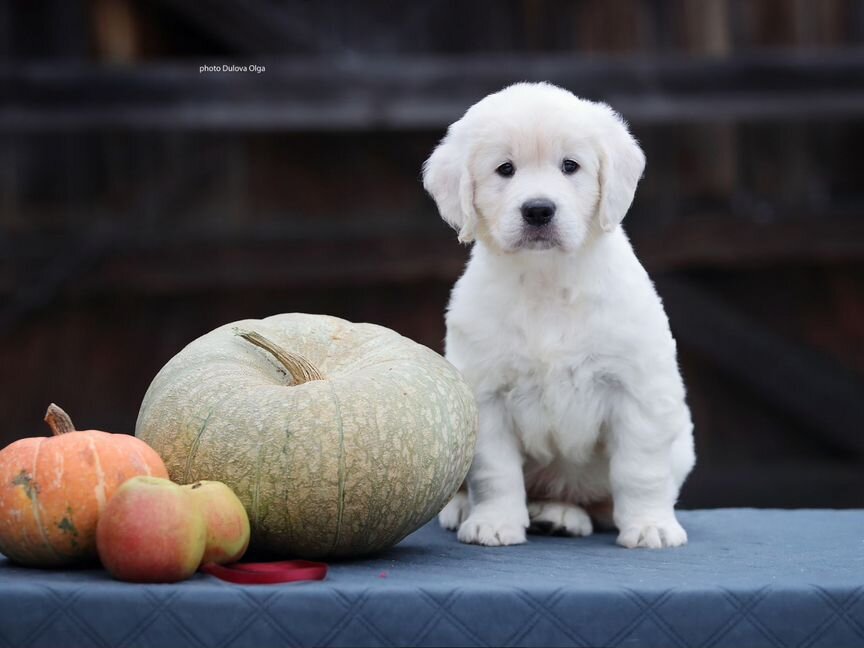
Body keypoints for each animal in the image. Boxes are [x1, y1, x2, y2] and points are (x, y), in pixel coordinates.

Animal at [422, 81, 700, 548]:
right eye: (505, 169)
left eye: (571, 166)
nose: (538, 210)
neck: (546, 280)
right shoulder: (486, 394)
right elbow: (495, 472)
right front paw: (495, 522)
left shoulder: (638, 389)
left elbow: (640, 469)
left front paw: (650, 526)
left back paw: (564, 515)